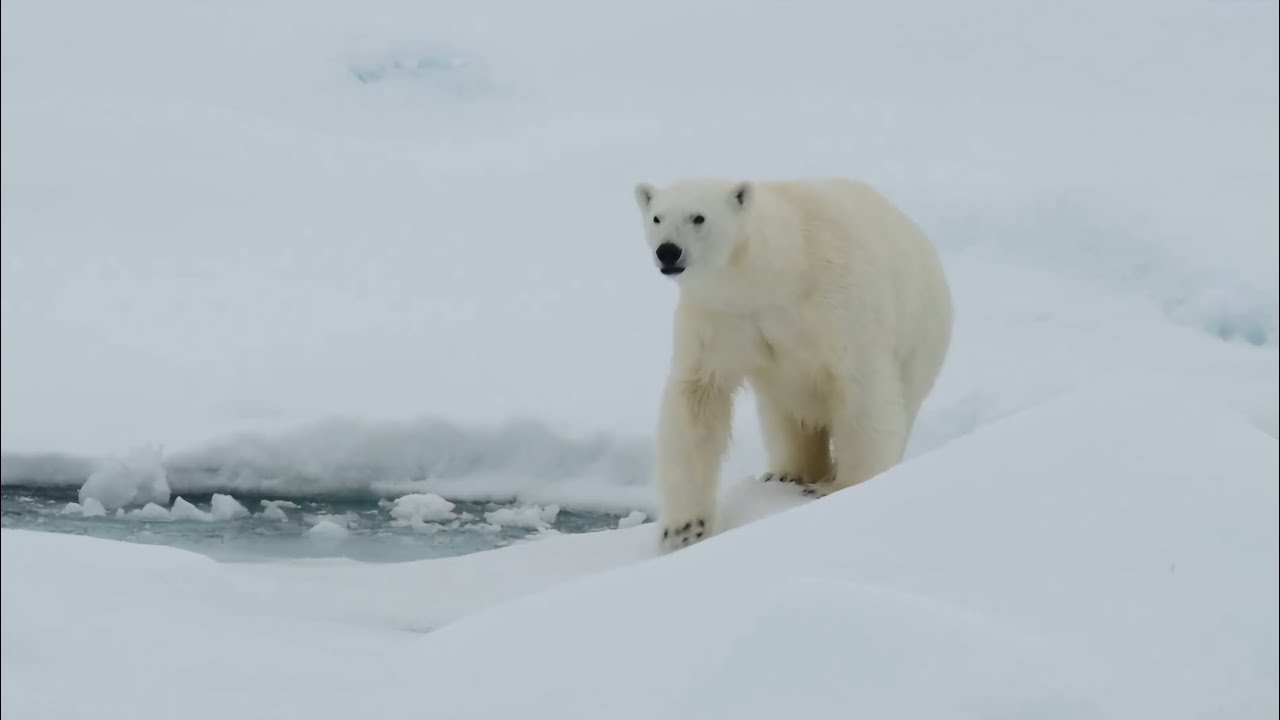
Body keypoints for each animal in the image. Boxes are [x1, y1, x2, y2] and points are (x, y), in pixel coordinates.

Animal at [632, 177, 953, 552]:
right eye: (657, 217)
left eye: (698, 217)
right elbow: (697, 397)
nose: (668, 251)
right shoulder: (720, 315)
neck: (777, 272)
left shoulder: (837, 302)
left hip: (920, 338)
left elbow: (861, 386)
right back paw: (786, 473)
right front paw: (683, 529)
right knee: (787, 417)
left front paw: (844, 486)